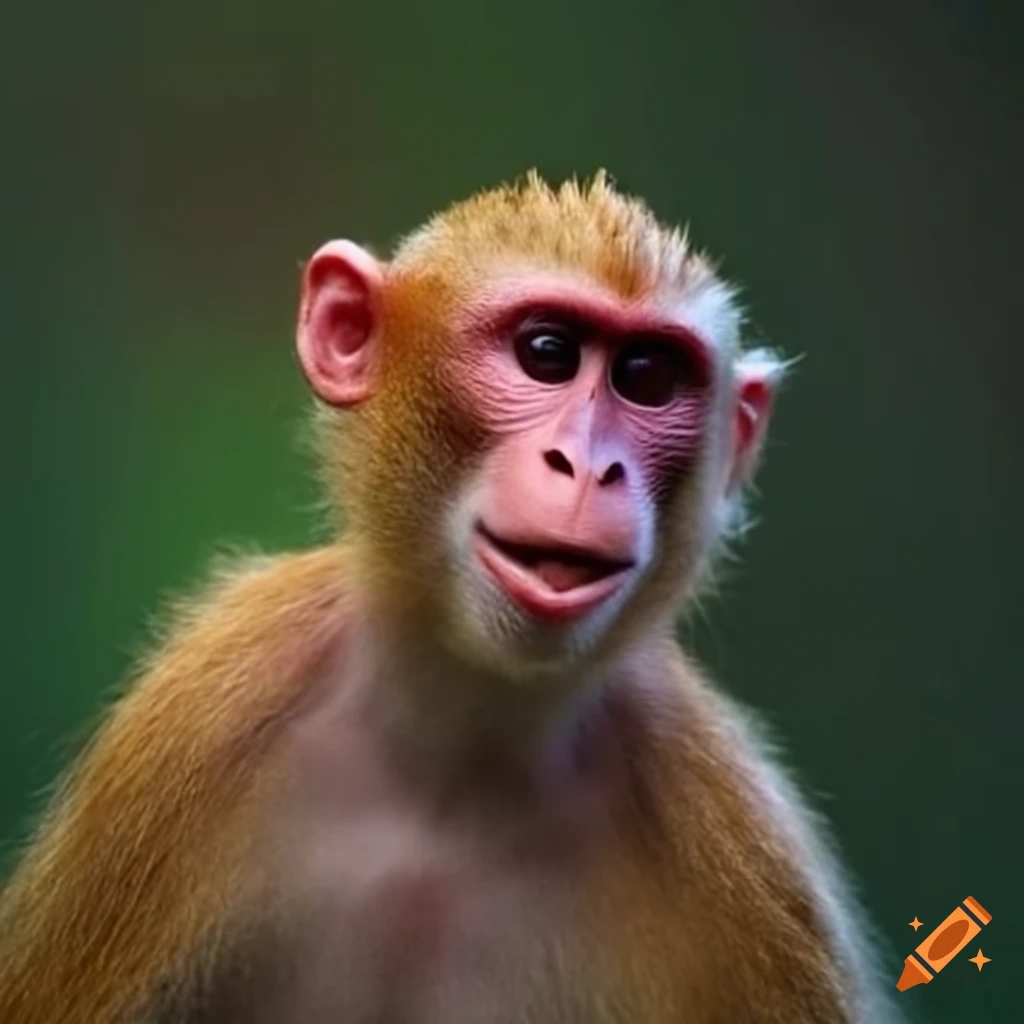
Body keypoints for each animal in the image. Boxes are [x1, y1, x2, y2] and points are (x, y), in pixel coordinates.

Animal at [0, 171, 904, 1023]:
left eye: (647, 376)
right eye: (547, 353)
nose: (590, 467)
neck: (458, 755)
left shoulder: (740, 849)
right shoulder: (195, 727)